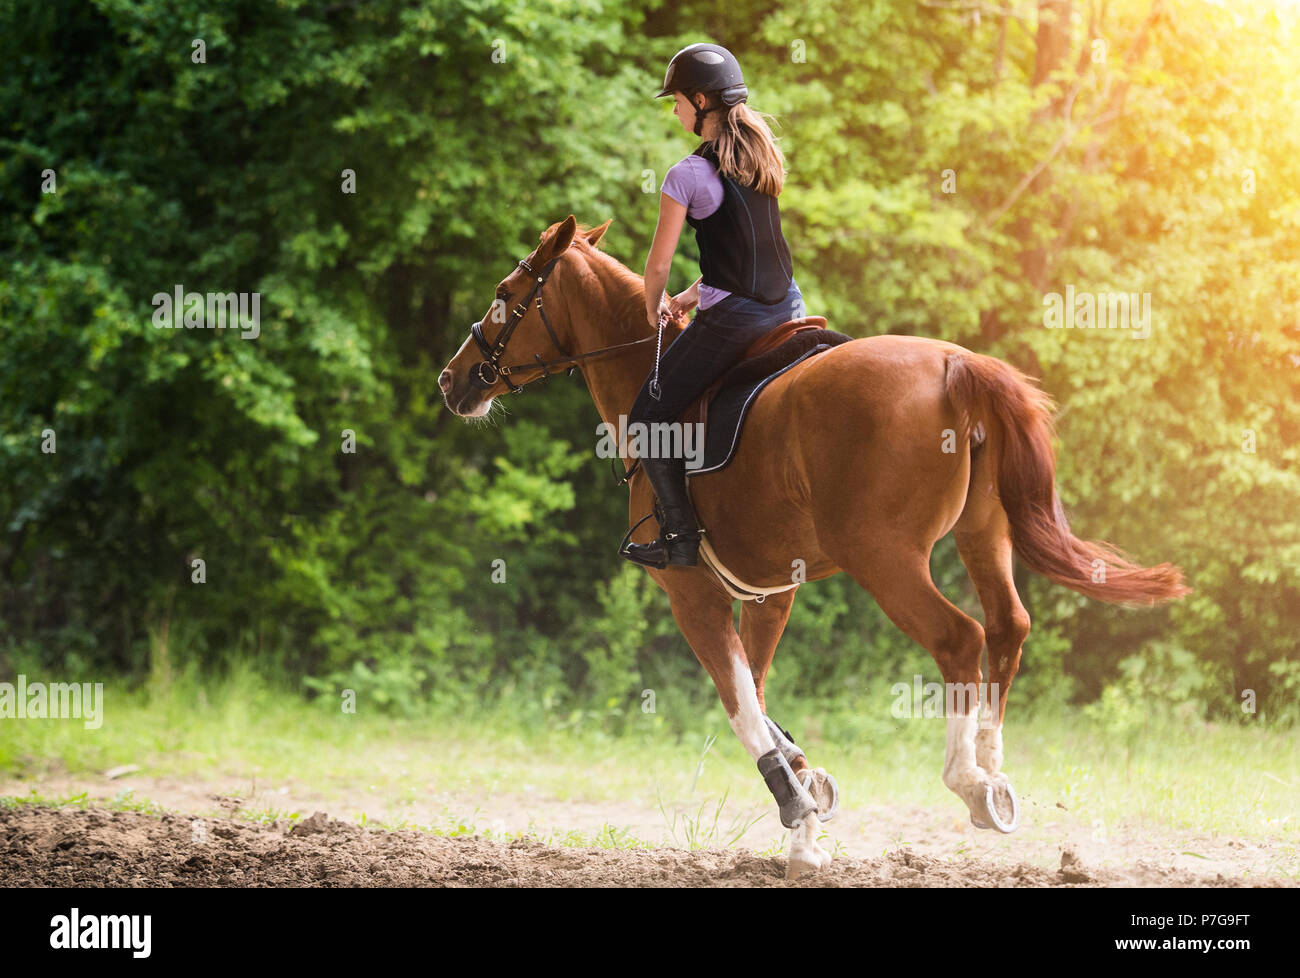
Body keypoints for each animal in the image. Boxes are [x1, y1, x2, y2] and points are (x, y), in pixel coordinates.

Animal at [439, 215, 1189, 879]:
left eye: (506, 294)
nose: (453, 380)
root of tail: (955, 361)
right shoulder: (768, 593)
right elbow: (758, 690)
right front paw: (806, 798)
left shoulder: (692, 594)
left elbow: (739, 705)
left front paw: (799, 811)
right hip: (983, 532)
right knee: (1009, 625)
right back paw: (994, 770)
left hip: (884, 558)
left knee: (960, 638)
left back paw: (970, 781)